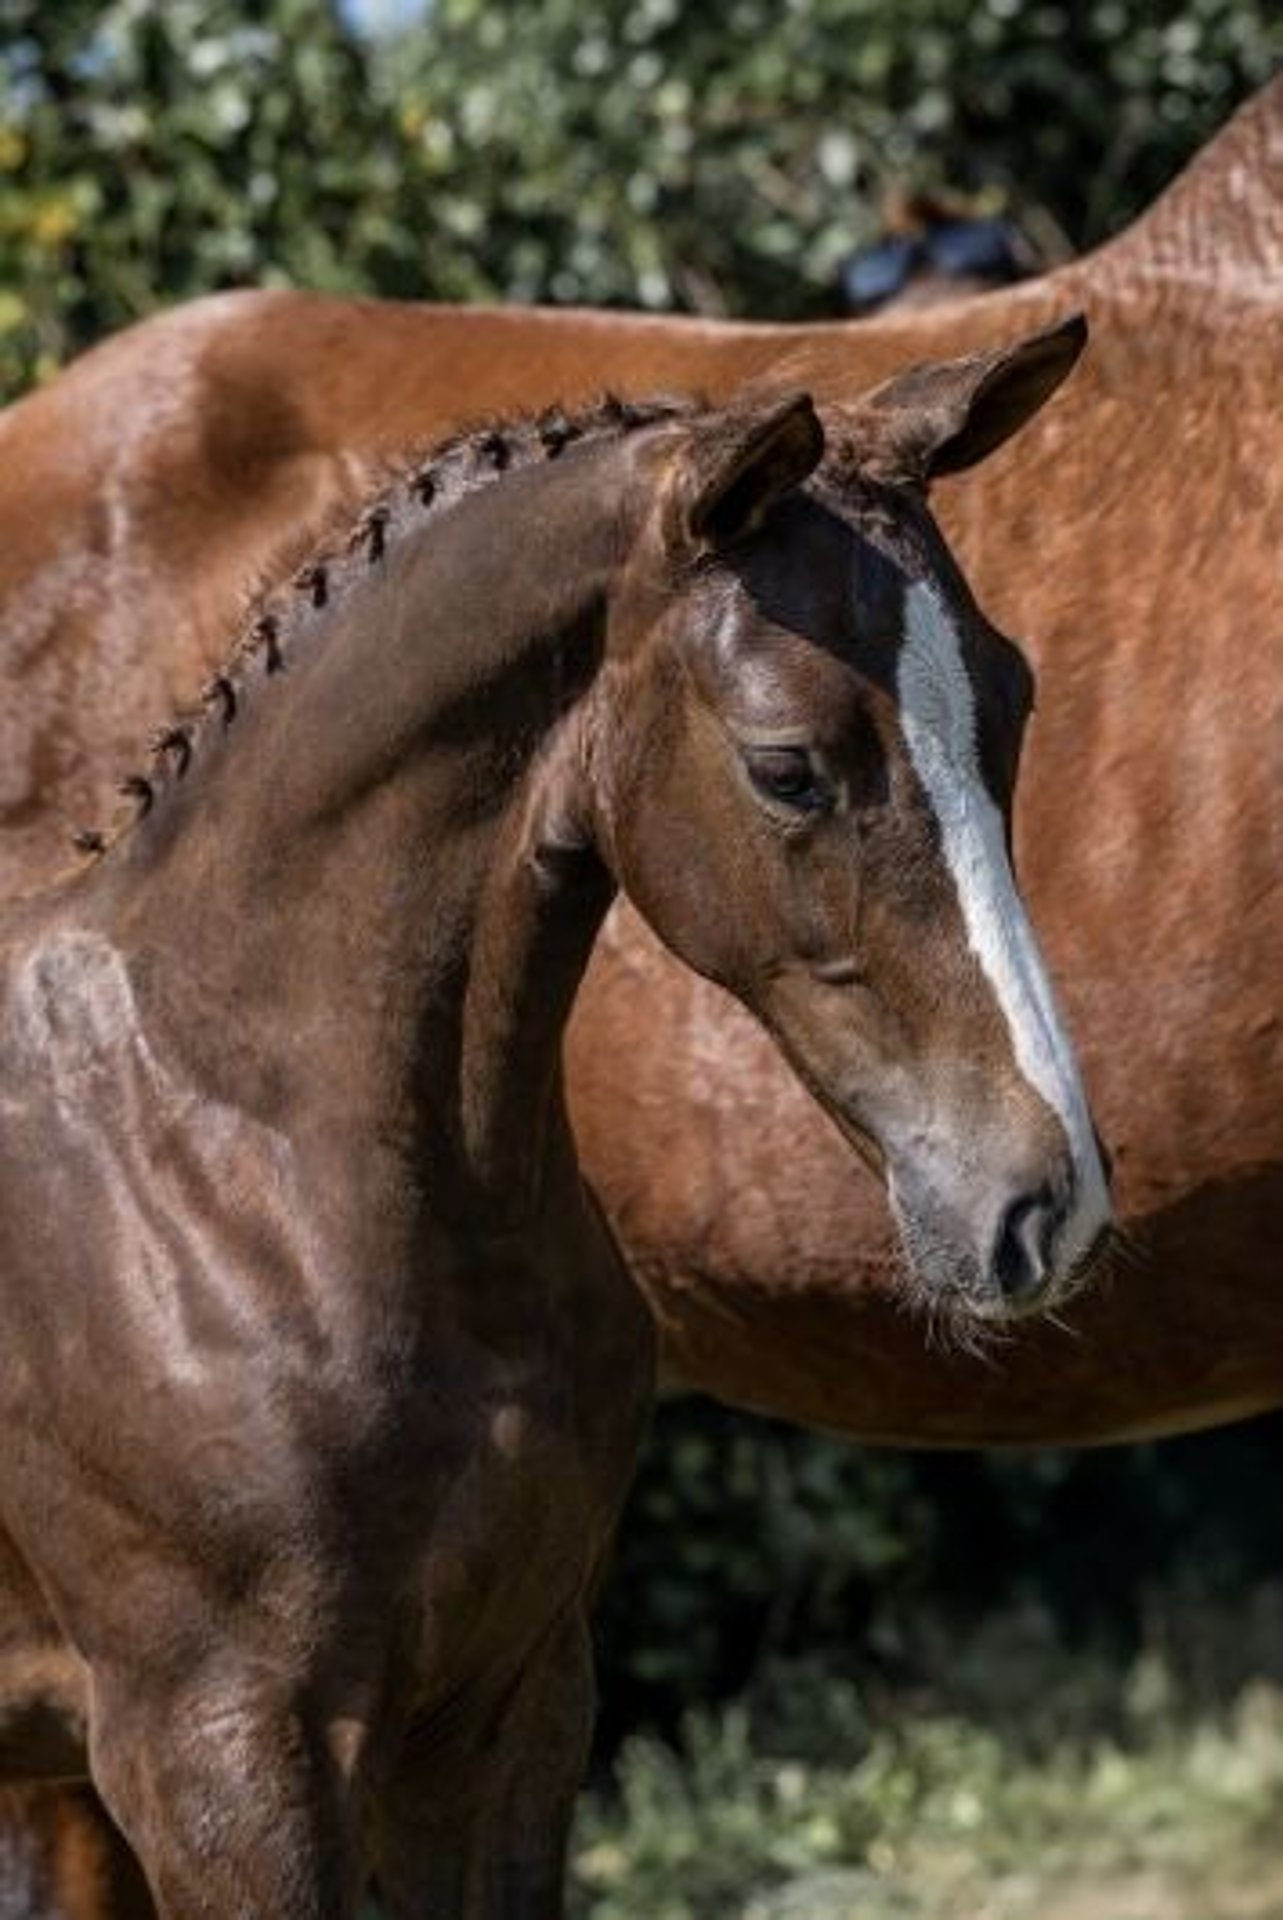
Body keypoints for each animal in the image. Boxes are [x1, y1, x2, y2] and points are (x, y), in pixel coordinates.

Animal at [0, 353, 1110, 1917]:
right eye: (786, 768)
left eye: (1008, 702)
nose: (1041, 1198)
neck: (228, 1154)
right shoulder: (215, 1754)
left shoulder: (513, 1702)